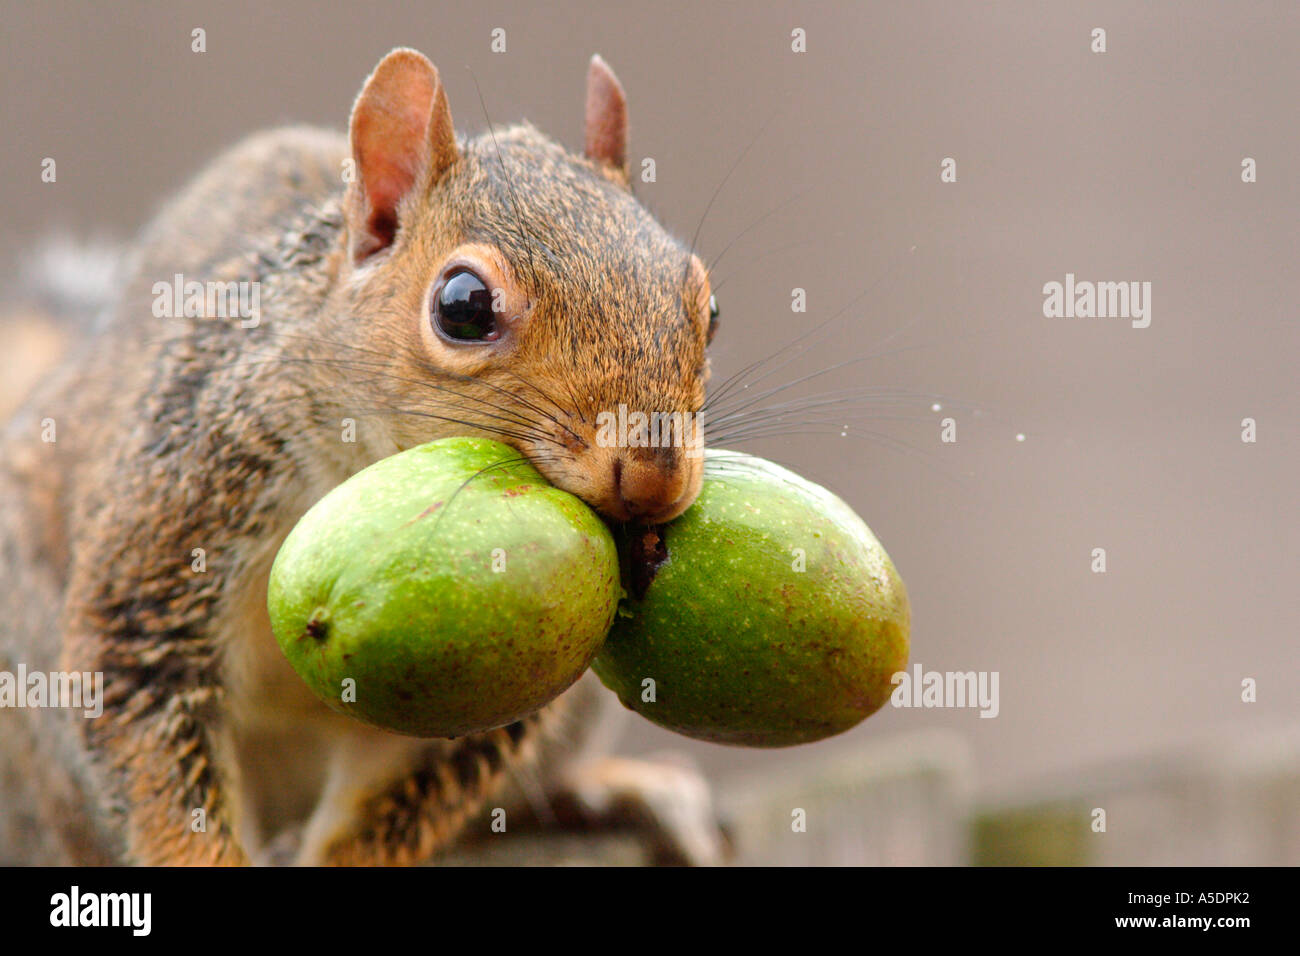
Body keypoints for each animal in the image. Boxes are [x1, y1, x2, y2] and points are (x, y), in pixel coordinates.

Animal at [0, 48, 727, 865]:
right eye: (463, 307)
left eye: (709, 309)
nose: (656, 477)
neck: (371, 468)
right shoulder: (185, 510)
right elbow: (142, 704)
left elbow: (405, 783)